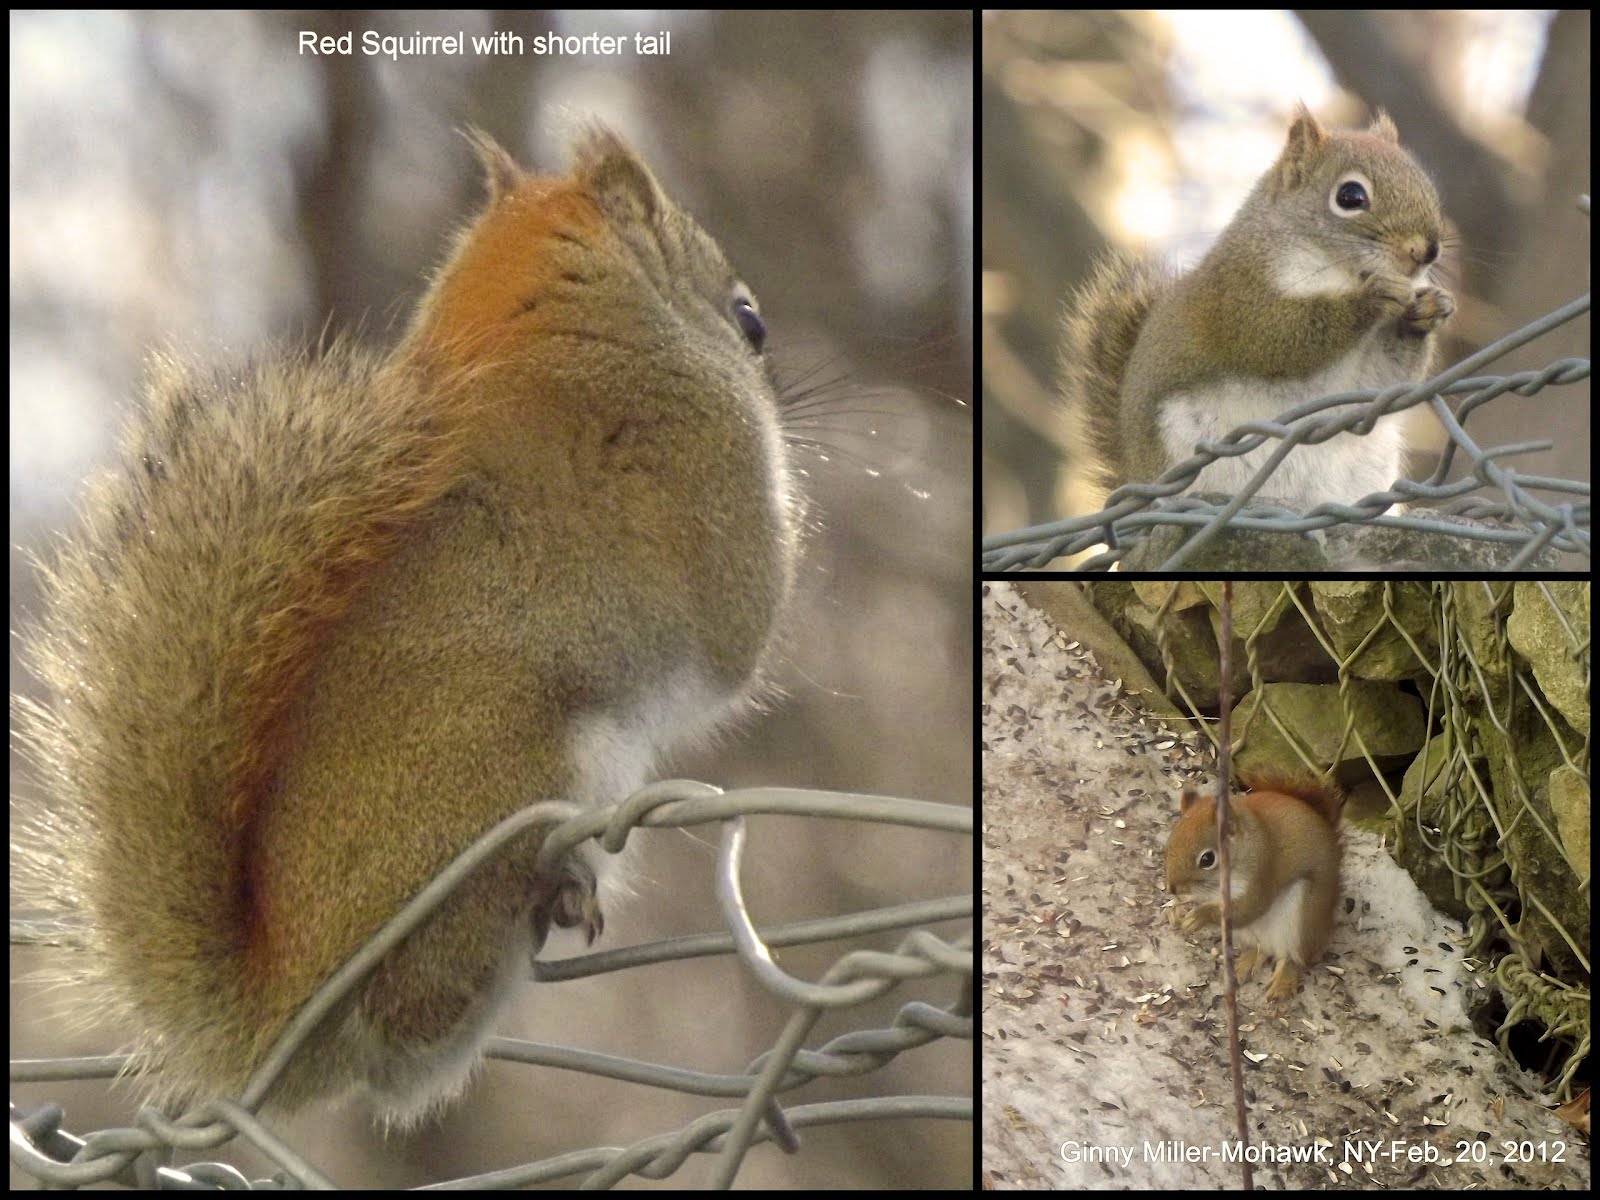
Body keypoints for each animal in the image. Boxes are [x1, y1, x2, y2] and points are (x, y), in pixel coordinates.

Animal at [11, 126, 798, 1125]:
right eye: (749, 320)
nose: (769, 351)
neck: (558, 338)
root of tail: (287, 1007)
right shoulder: (713, 475)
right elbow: (745, 628)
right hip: (508, 765)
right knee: (419, 1000)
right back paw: (542, 894)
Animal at [1060, 103, 1454, 511]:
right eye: (1350, 196)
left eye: (1424, 184)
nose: (1427, 250)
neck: (1340, 271)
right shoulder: (1237, 297)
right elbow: (1278, 338)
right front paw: (1370, 298)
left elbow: (1383, 379)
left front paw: (1429, 309)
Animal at [1163, 771, 1344, 1003]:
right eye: (1171, 842)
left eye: (1207, 859)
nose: (1173, 889)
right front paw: (1176, 912)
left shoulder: (1262, 874)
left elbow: (1247, 909)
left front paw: (1200, 916)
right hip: (1246, 935)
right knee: (1258, 949)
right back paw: (1242, 966)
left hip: (1303, 919)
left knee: (1293, 958)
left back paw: (1282, 982)